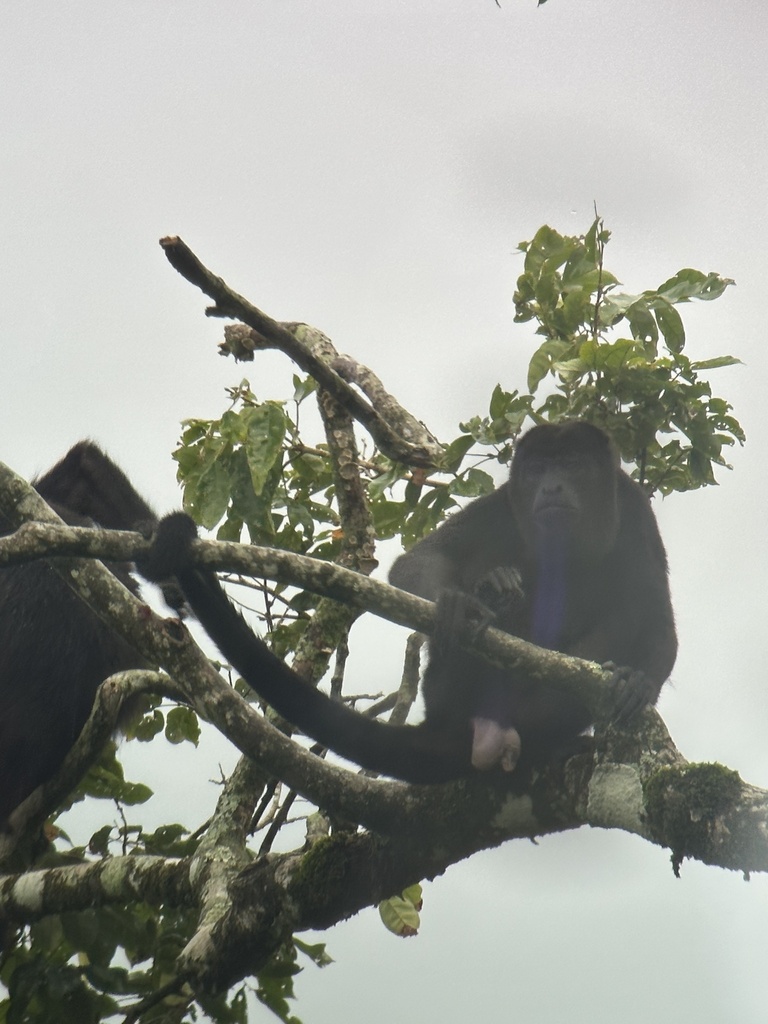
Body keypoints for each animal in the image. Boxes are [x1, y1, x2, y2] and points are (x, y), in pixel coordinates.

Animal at [143, 420, 677, 783]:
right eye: (538, 469)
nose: (550, 485)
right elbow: (422, 559)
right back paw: (494, 594)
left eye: (571, 465)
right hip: (445, 689)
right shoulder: (506, 502)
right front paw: (461, 601)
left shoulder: (635, 512)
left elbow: (657, 621)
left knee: (625, 612)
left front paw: (637, 680)